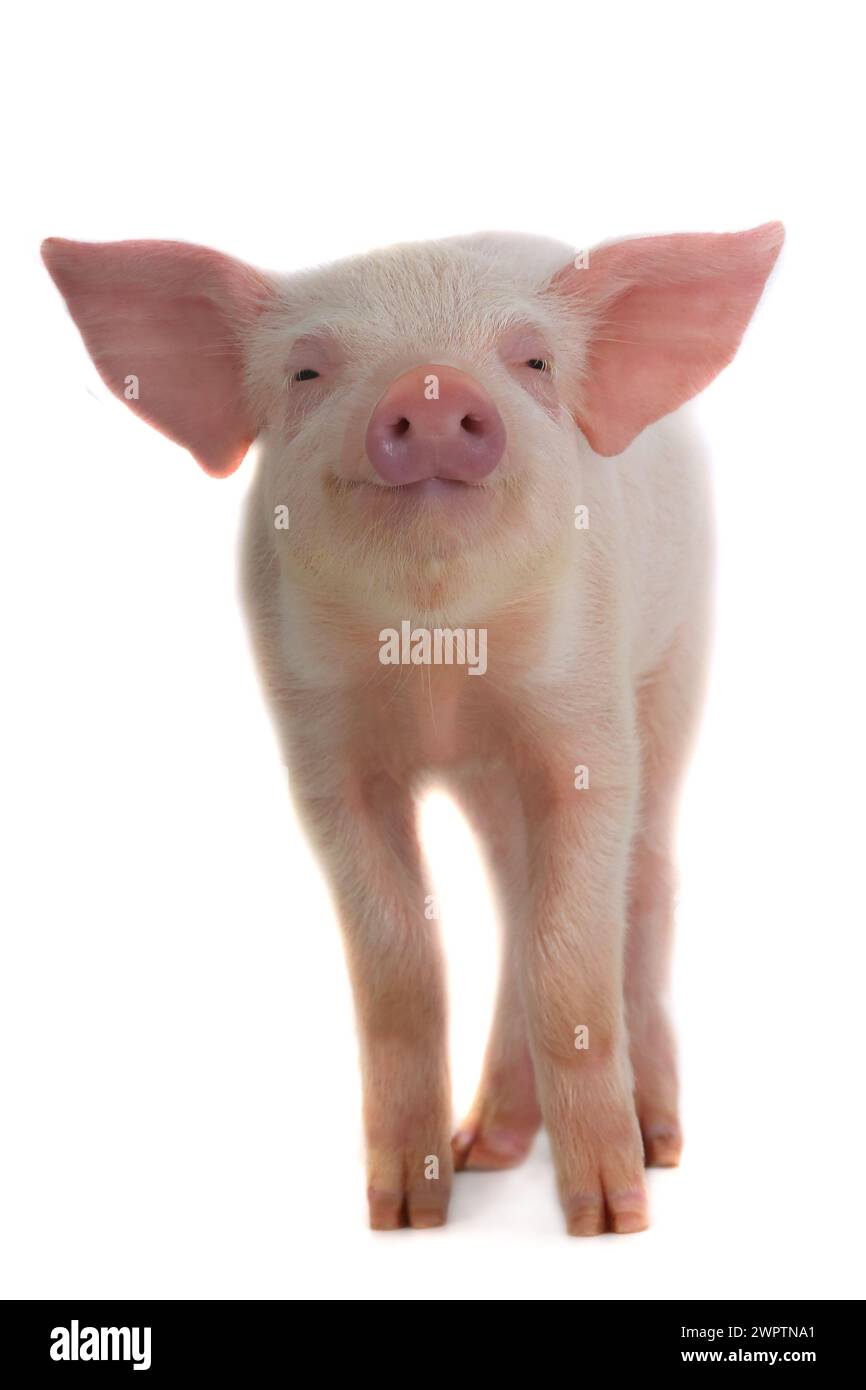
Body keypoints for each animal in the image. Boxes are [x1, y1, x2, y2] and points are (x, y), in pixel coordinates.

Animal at [41, 223, 783, 1234]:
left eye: (535, 360)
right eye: (307, 369)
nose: (430, 389)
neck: (436, 651)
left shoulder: (586, 713)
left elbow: (569, 958)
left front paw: (611, 1219)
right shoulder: (320, 751)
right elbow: (397, 969)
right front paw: (405, 1215)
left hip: (679, 654)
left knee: (649, 877)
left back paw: (660, 1142)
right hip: (493, 777)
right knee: (513, 895)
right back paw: (487, 1149)